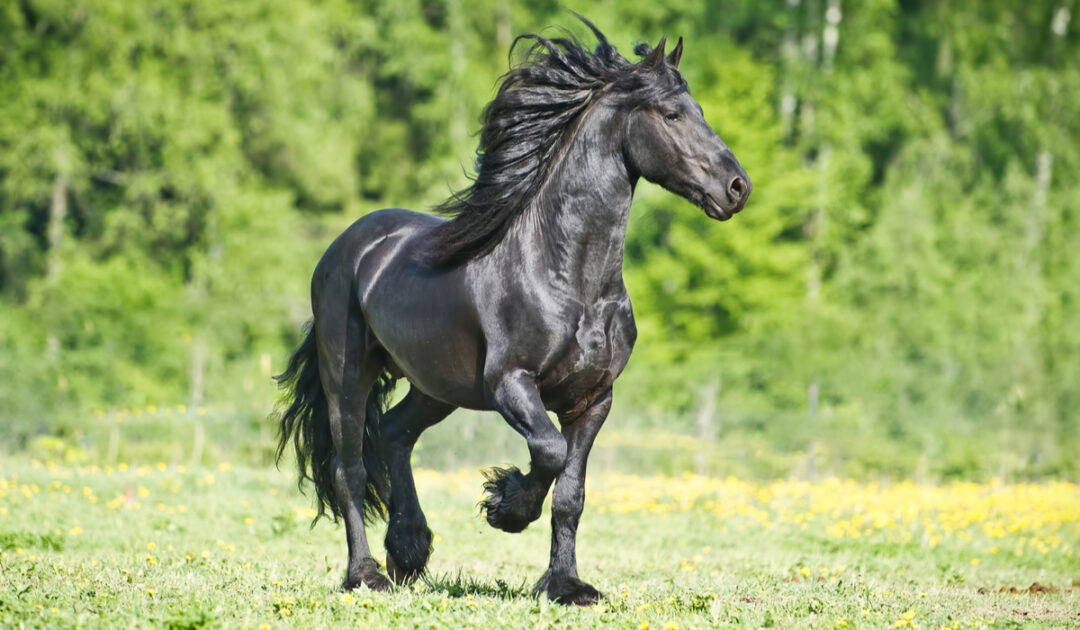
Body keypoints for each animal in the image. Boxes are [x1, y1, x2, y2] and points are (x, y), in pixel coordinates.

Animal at [275, 17, 750, 606]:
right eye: (671, 114)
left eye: (699, 110)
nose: (737, 188)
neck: (568, 278)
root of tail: (346, 246)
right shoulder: (510, 383)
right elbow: (547, 451)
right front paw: (505, 507)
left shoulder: (594, 399)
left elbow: (571, 493)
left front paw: (567, 585)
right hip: (347, 374)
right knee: (350, 469)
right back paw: (367, 574)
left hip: (436, 384)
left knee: (394, 432)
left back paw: (409, 549)